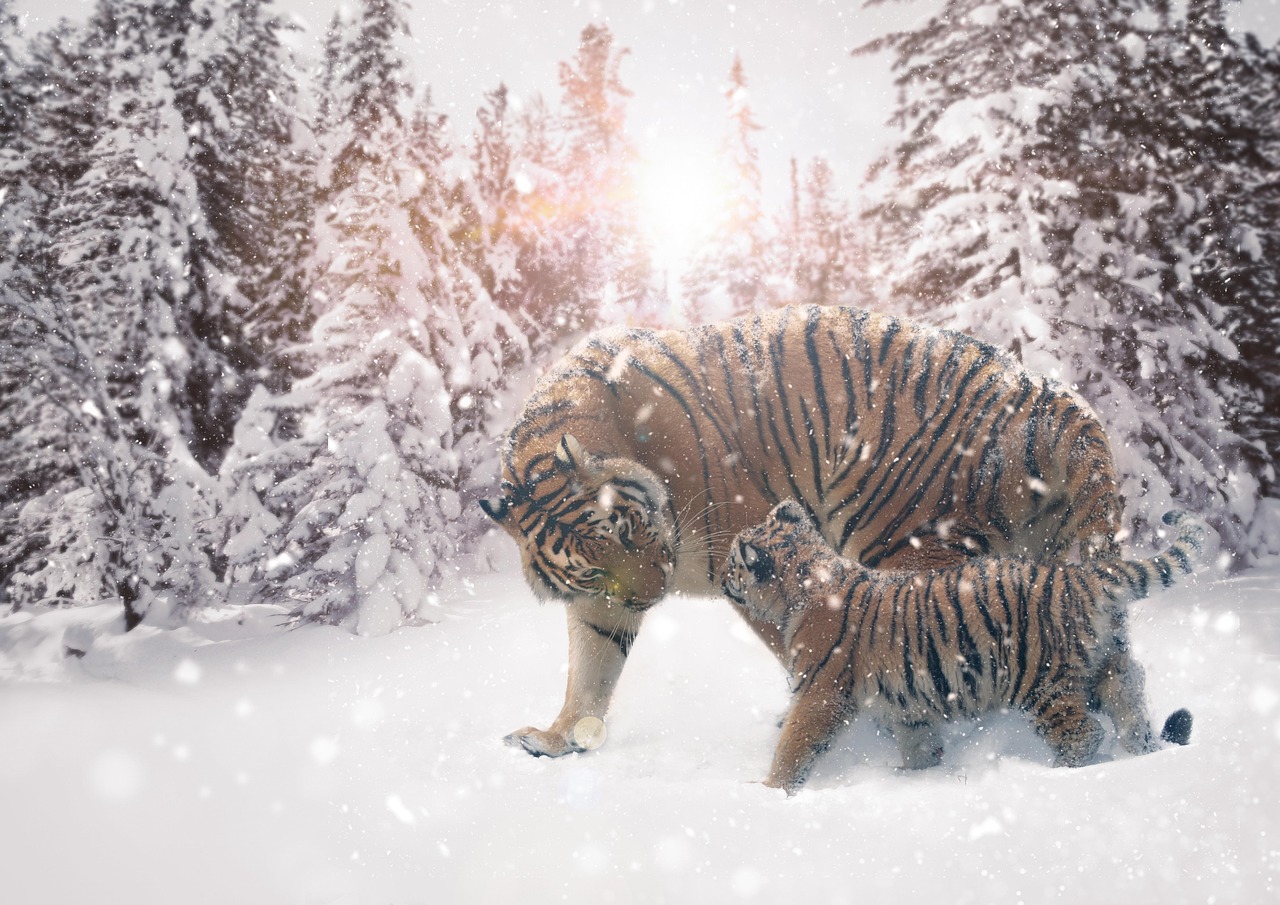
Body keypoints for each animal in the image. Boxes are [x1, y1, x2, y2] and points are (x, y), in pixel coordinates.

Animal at [480, 304, 1126, 758]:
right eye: (594, 569)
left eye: (628, 528)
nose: (654, 592)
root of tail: (1046, 394)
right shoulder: (601, 604)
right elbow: (590, 666)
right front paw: (562, 737)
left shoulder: (743, 546)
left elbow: (796, 640)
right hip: (1046, 549)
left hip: (901, 534)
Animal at [720, 499, 1203, 794]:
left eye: (733, 562)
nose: (722, 578)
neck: (804, 580)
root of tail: (1079, 575)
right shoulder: (907, 702)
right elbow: (918, 742)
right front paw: (913, 776)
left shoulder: (820, 693)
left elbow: (794, 745)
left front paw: (768, 792)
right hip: (1109, 662)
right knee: (1131, 704)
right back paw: (1144, 755)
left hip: (1041, 682)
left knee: (1084, 734)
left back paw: (1056, 776)